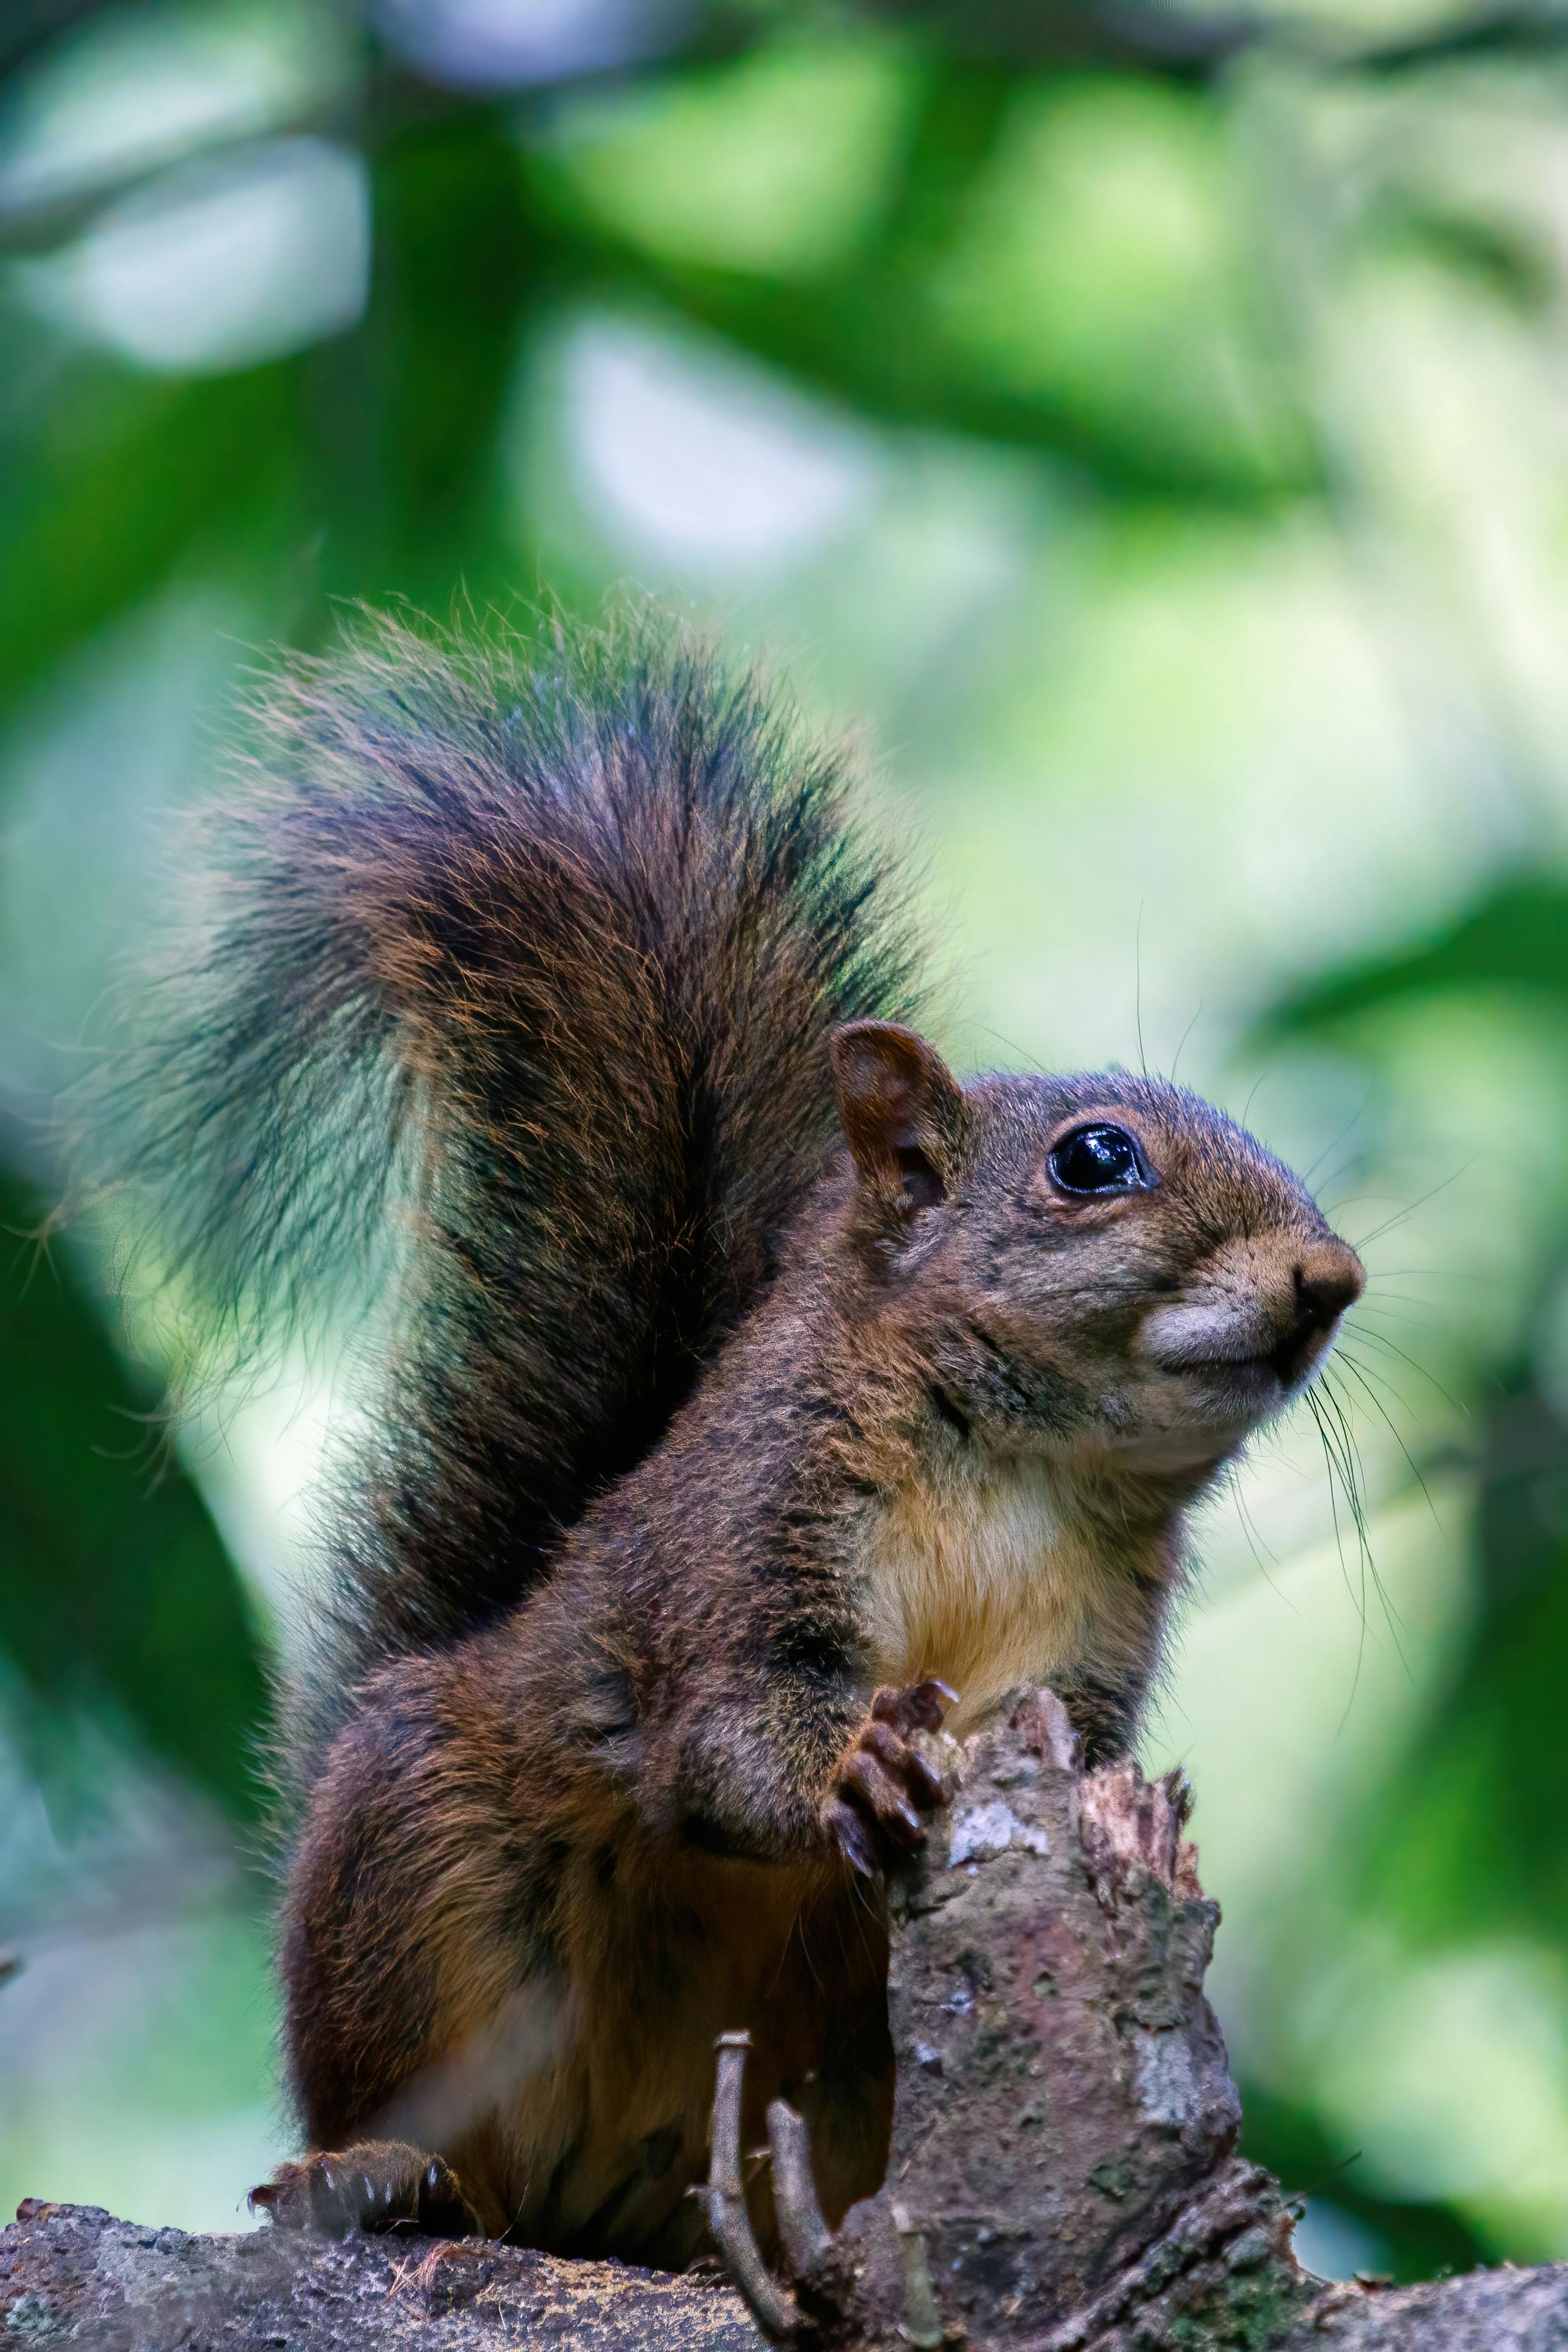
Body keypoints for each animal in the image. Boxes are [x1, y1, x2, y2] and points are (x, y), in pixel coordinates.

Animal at [118, 606, 1363, 2266]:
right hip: (420, 1854)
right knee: (422, 2115)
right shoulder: (746, 1520)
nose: (1331, 1279)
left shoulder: (1094, 1643)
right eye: (1095, 1160)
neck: (1023, 1466)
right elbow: (725, 1720)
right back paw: (374, 2168)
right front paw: (859, 1759)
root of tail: (604, 2204)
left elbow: (1073, 1755)